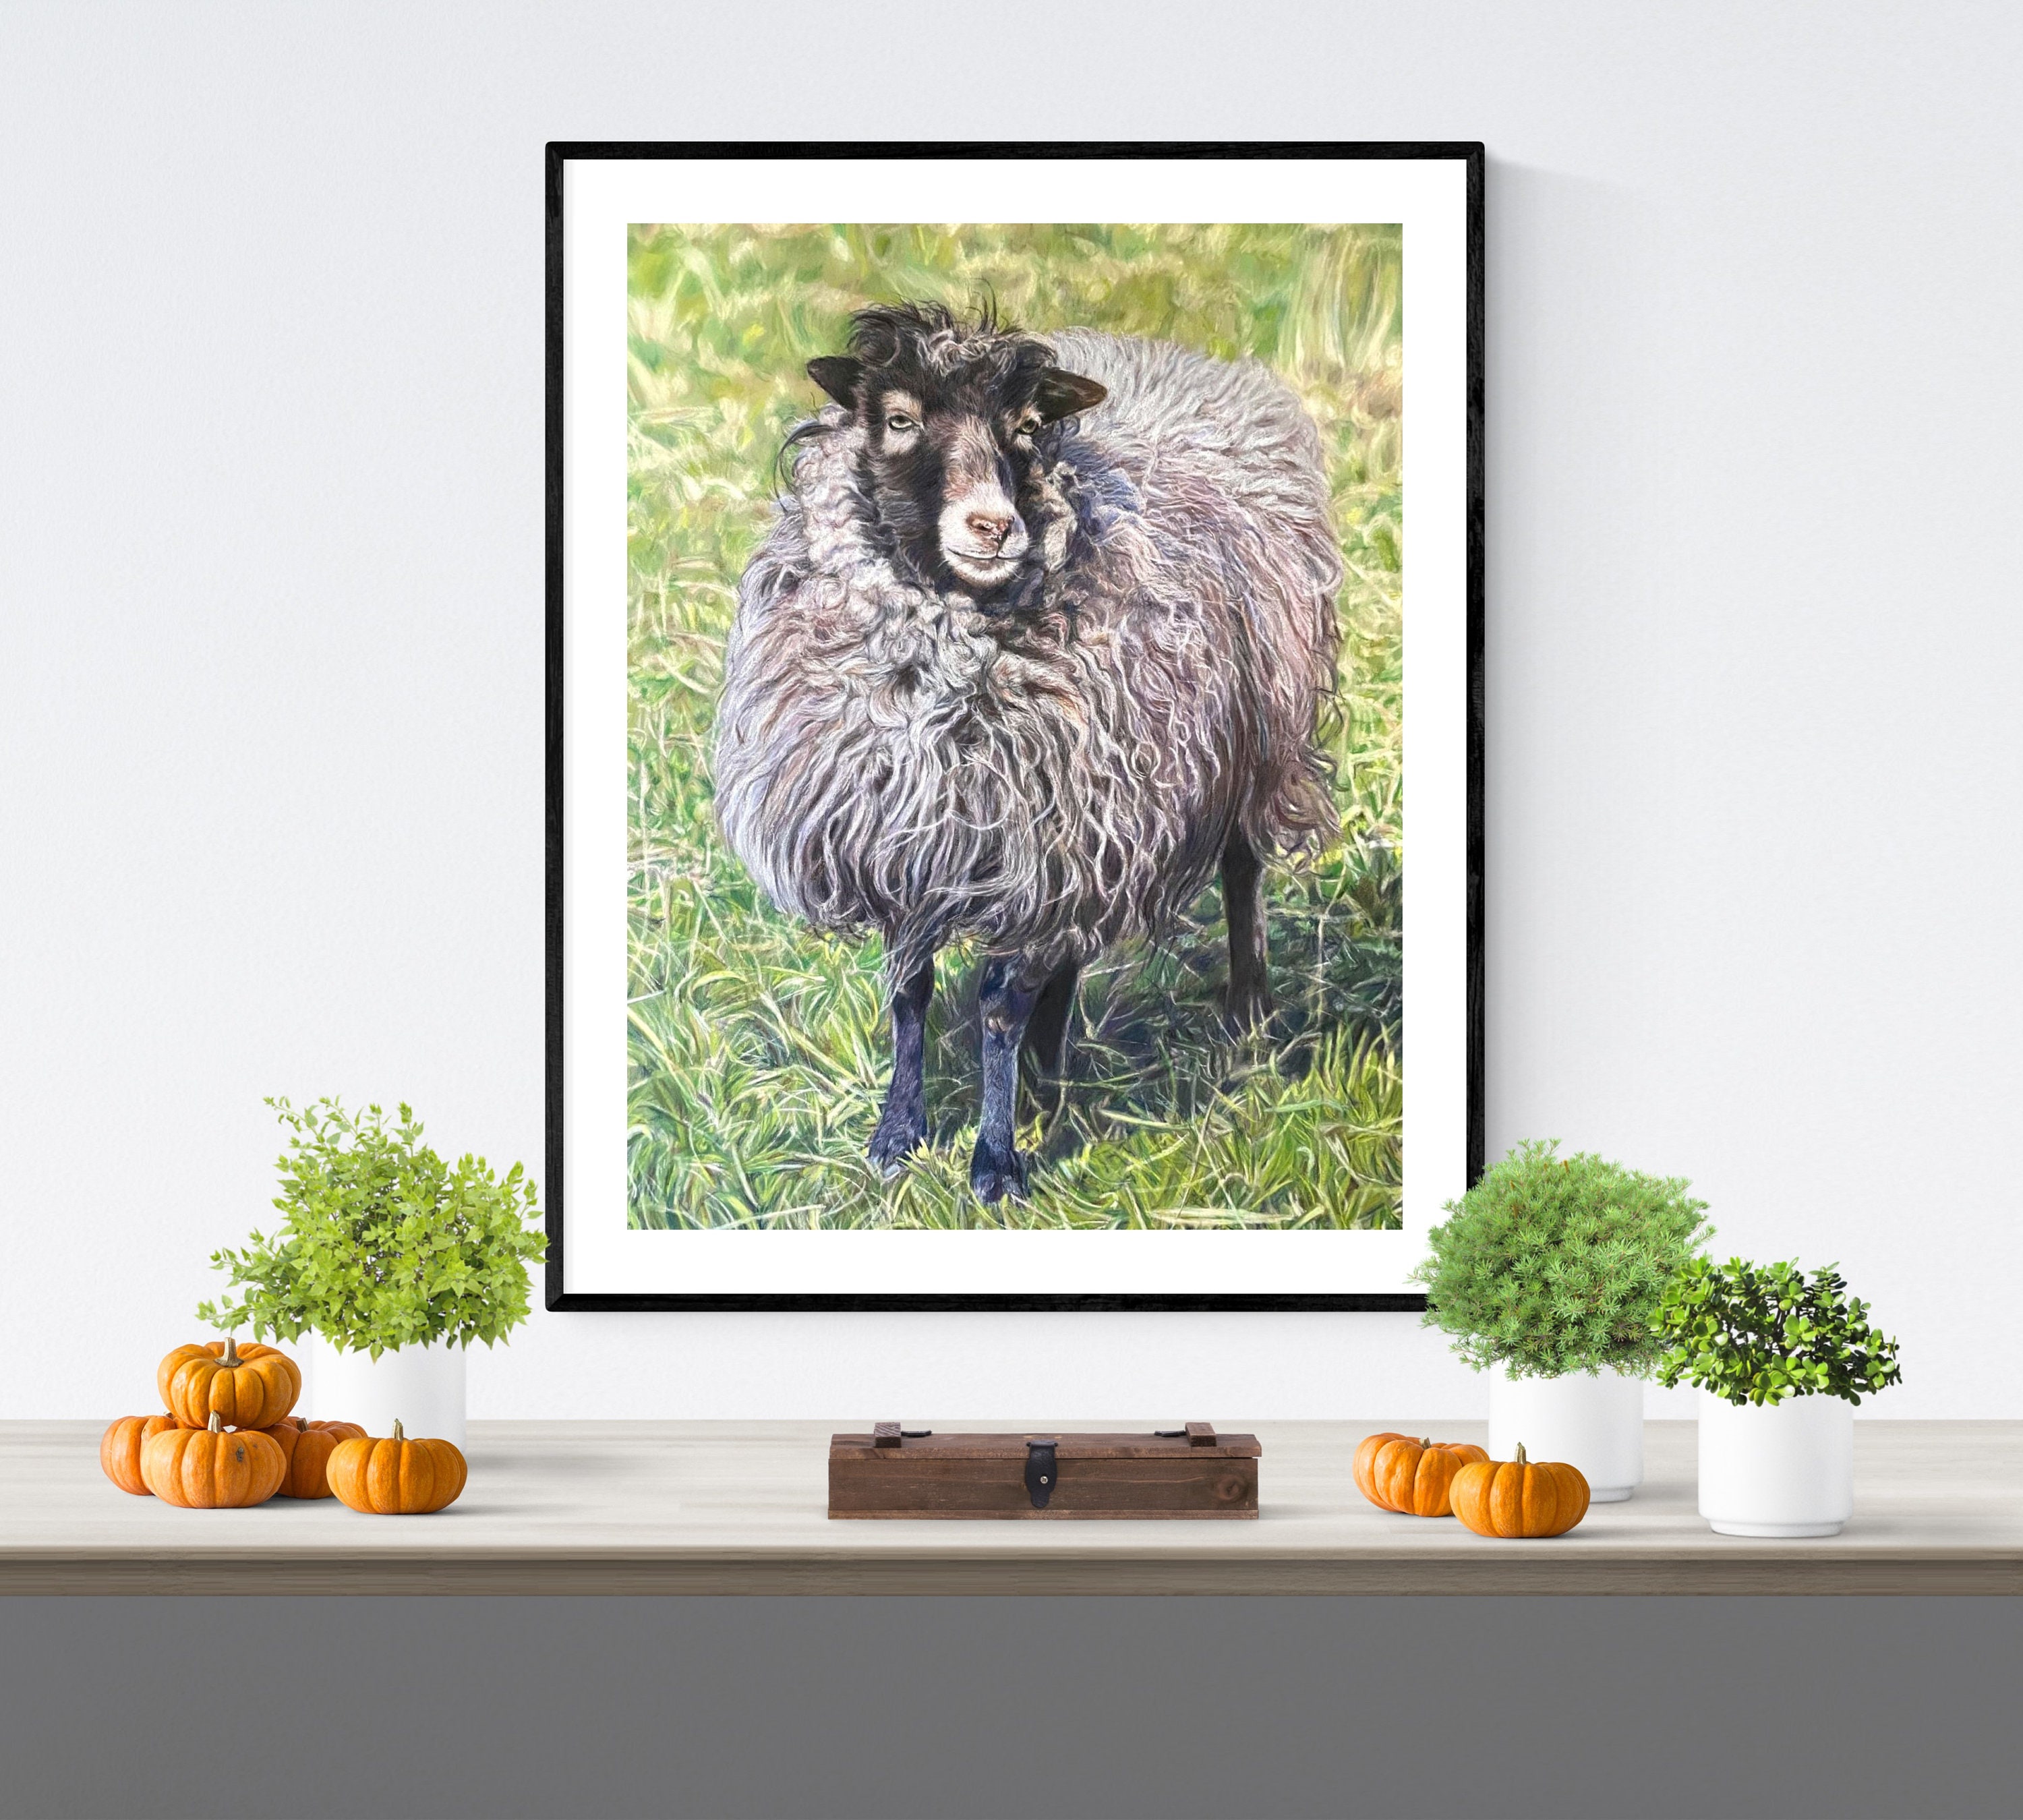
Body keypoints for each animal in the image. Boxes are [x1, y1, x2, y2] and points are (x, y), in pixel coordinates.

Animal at [711, 302, 1342, 1203]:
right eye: (898, 419)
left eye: (1026, 428)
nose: (993, 526)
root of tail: (1171, 355)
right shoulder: (917, 846)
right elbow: (909, 995)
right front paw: (898, 1136)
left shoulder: (1043, 833)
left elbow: (1000, 1005)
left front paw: (995, 1162)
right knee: (1073, 942)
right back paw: (1052, 1070)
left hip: (1248, 739)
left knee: (1241, 866)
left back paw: (1247, 1013)